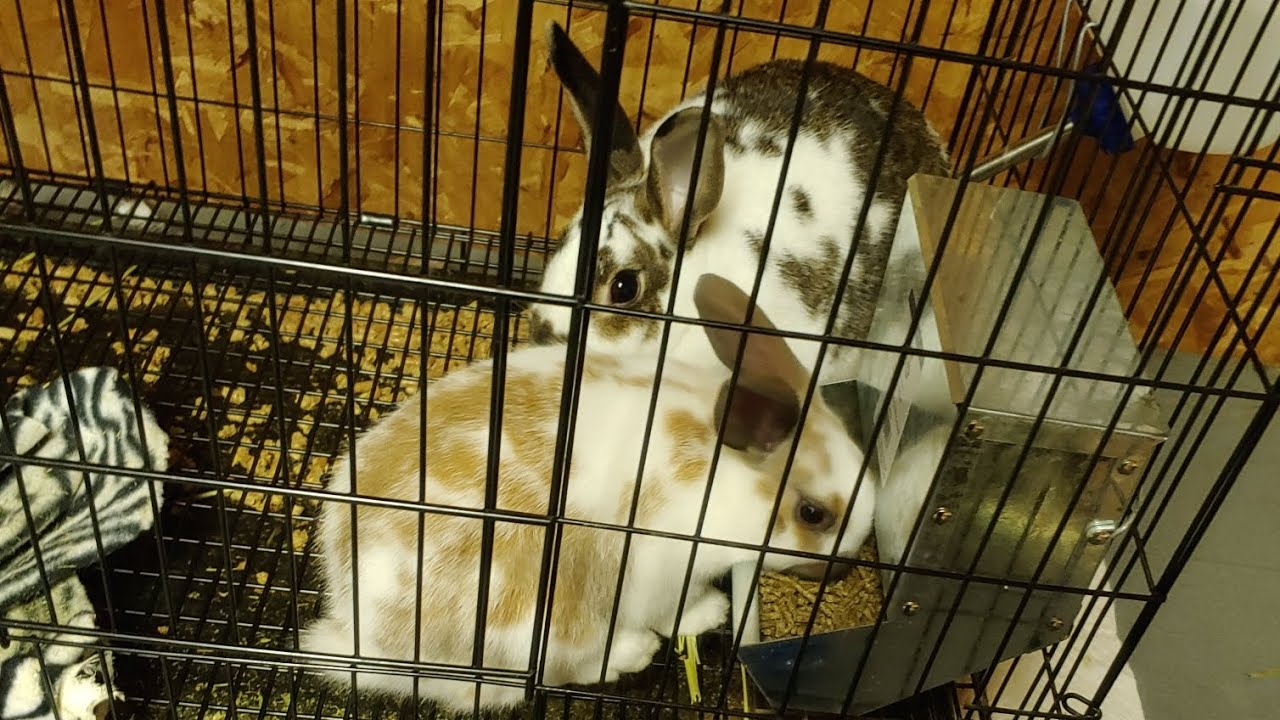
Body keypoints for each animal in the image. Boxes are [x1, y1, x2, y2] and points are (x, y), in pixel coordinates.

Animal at [300, 273, 877, 714]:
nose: (843, 567)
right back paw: (635, 651)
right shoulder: (663, 572)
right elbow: (675, 609)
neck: (724, 477)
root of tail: (364, 638)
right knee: (562, 666)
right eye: (813, 514)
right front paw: (711, 614)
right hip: (537, 621)